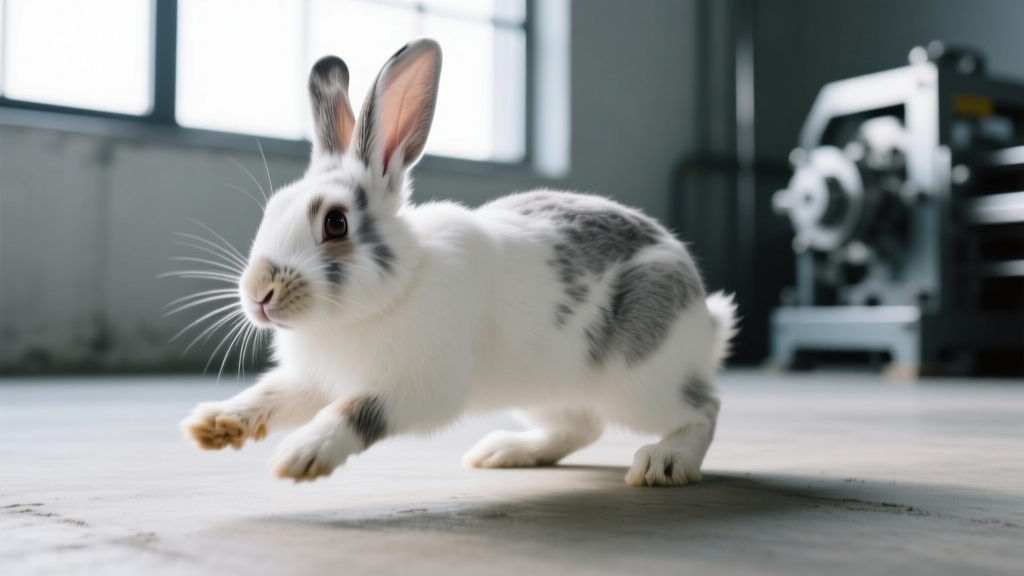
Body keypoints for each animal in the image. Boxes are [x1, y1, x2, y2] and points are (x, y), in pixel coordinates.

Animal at [179, 38, 737, 487]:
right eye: (272, 210)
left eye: (335, 223)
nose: (258, 293)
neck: (387, 297)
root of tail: (702, 315)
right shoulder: (312, 381)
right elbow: (272, 395)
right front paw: (214, 425)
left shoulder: (416, 386)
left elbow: (357, 412)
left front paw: (302, 454)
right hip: (546, 389)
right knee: (581, 424)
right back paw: (505, 450)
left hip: (642, 380)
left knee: (704, 409)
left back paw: (664, 463)